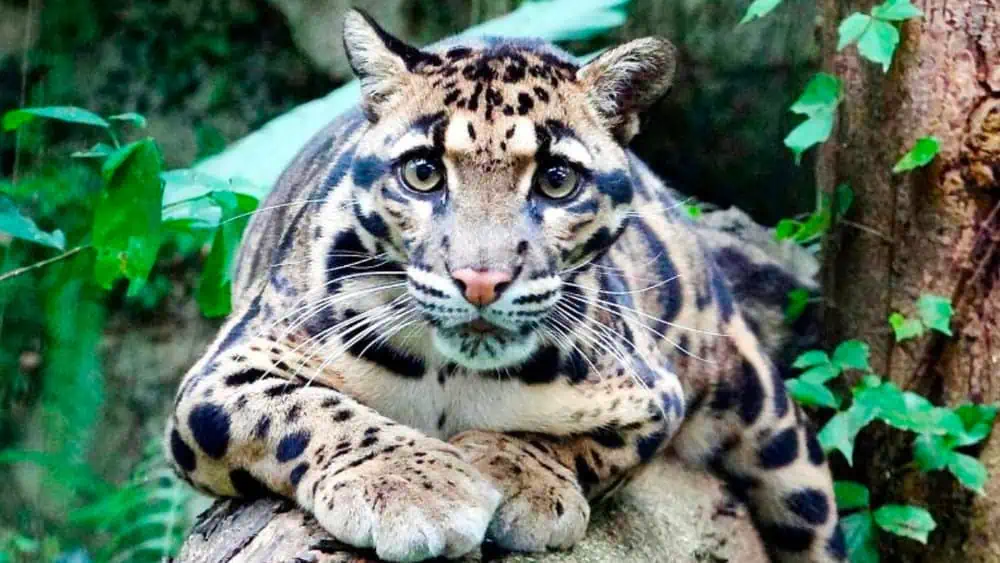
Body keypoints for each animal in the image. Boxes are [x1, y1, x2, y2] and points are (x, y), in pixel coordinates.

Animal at [165, 9, 845, 562]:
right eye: (422, 173)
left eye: (556, 180)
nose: (481, 281)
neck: (450, 374)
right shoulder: (224, 370)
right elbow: (304, 410)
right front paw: (412, 486)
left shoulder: (652, 392)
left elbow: (584, 441)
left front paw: (516, 472)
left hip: (775, 435)